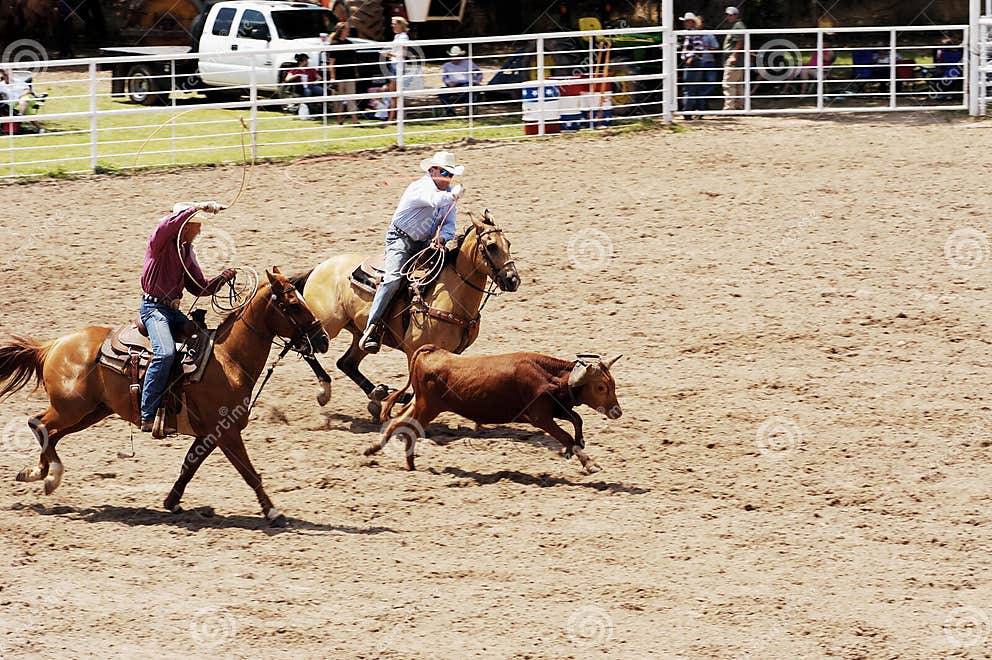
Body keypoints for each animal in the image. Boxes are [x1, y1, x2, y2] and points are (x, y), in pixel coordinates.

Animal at [0, 268, 329, 527]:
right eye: (293, 305)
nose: (322, 340)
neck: (228, 359)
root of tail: (53, 344)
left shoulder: (211, 433)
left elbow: (189, 465)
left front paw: (172, 501)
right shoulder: (227, 432)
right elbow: (249, 473)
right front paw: (274, 513)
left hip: (93, 411)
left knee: (51, 433)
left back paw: (39, 473)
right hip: (72, 407)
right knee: (39, 424)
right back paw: (47, 474)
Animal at [290, 210, 520, 419]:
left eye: (508, 243)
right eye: (491, 246)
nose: (513, 280)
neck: (451, 295)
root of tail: (318, 268)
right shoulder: (413, 349)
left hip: (359, 335)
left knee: (346, 363)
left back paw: (377, 394)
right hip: (325, 327)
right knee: (303, 346)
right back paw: (326, 391)